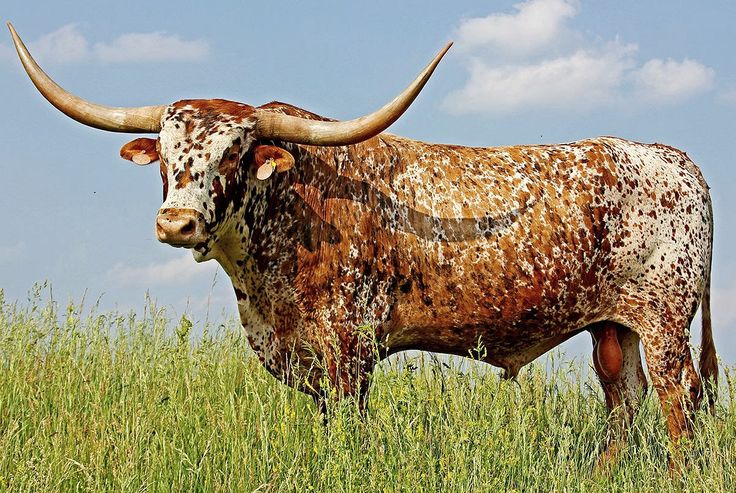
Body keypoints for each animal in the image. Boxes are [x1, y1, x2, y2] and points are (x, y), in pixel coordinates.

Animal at [8, 22, 716, 466]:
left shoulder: (349, 349)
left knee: (681, 408)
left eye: (234, 153)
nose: (177, 223)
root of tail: (675, 159)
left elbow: (352, 434)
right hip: (613, 328)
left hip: (665, 323)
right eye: (166, 153)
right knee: (625, 406)